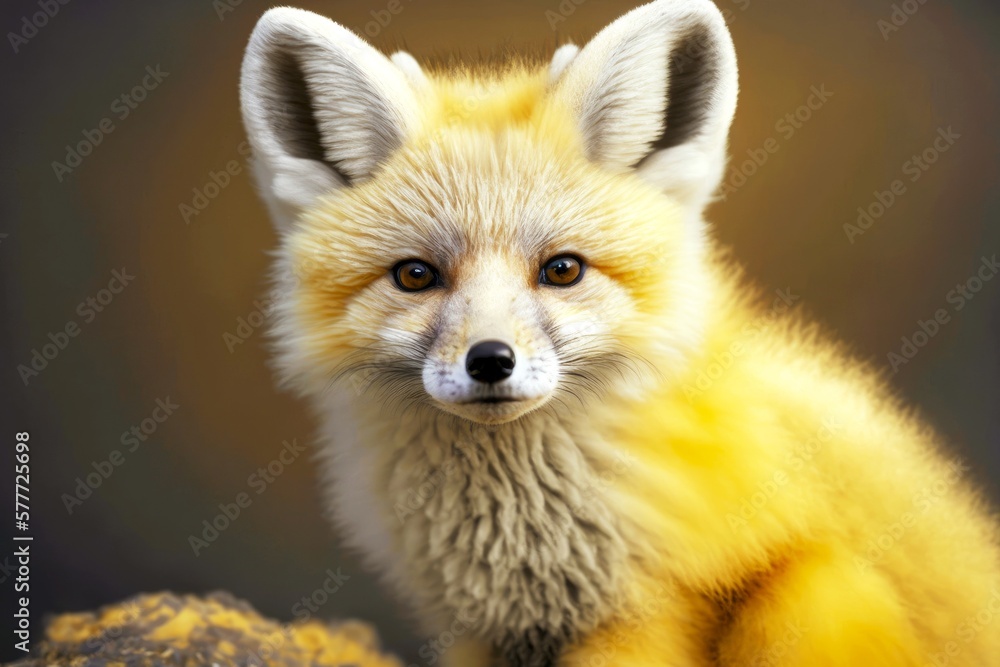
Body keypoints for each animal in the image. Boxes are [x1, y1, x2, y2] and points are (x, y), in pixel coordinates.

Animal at [238, 1, 1000, 665]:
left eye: (562, 269)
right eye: (416, 275)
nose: (491, 361)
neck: (527, 540)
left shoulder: (643, 615)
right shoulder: (481, 634)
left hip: (813, 597)